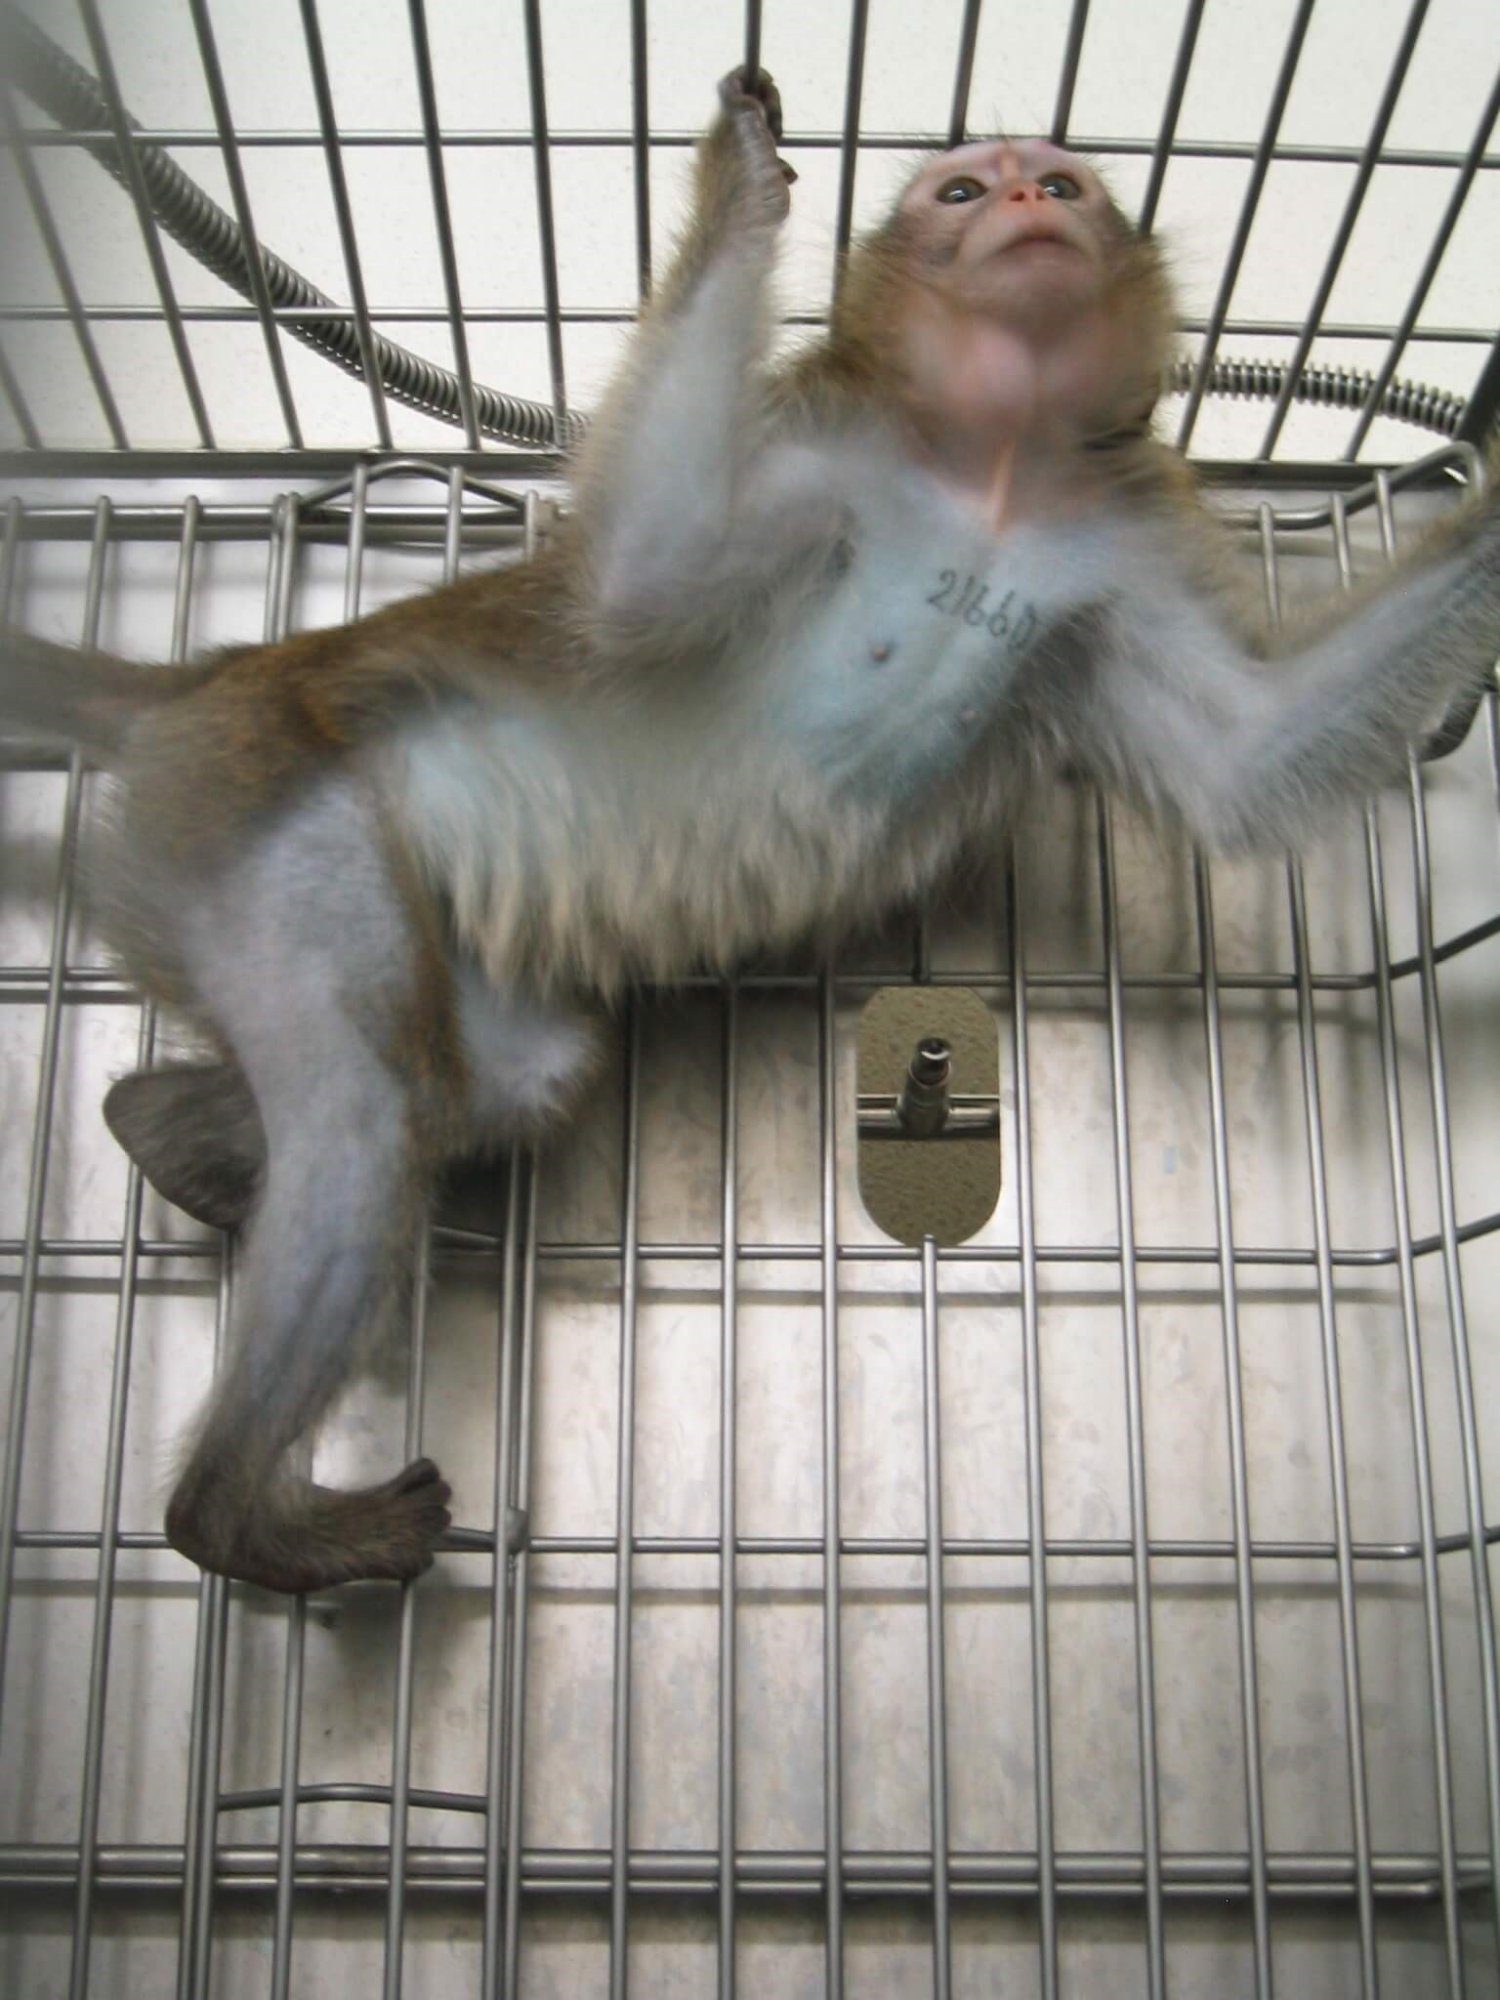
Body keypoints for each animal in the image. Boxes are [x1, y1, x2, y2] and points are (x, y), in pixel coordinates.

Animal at [2, 67, 1498, 1595]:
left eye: (1062, 185)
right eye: (965, 191)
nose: (1028, 198)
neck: (997, 470)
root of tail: (213, 676)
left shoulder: (1119, 550)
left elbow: (1244, 763)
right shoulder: (817, 441)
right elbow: (639, 589)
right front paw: (746, 179)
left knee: (503, 1075)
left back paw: (166, 1137)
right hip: (258, 811)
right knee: (372, 1095)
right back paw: (242, 1511)